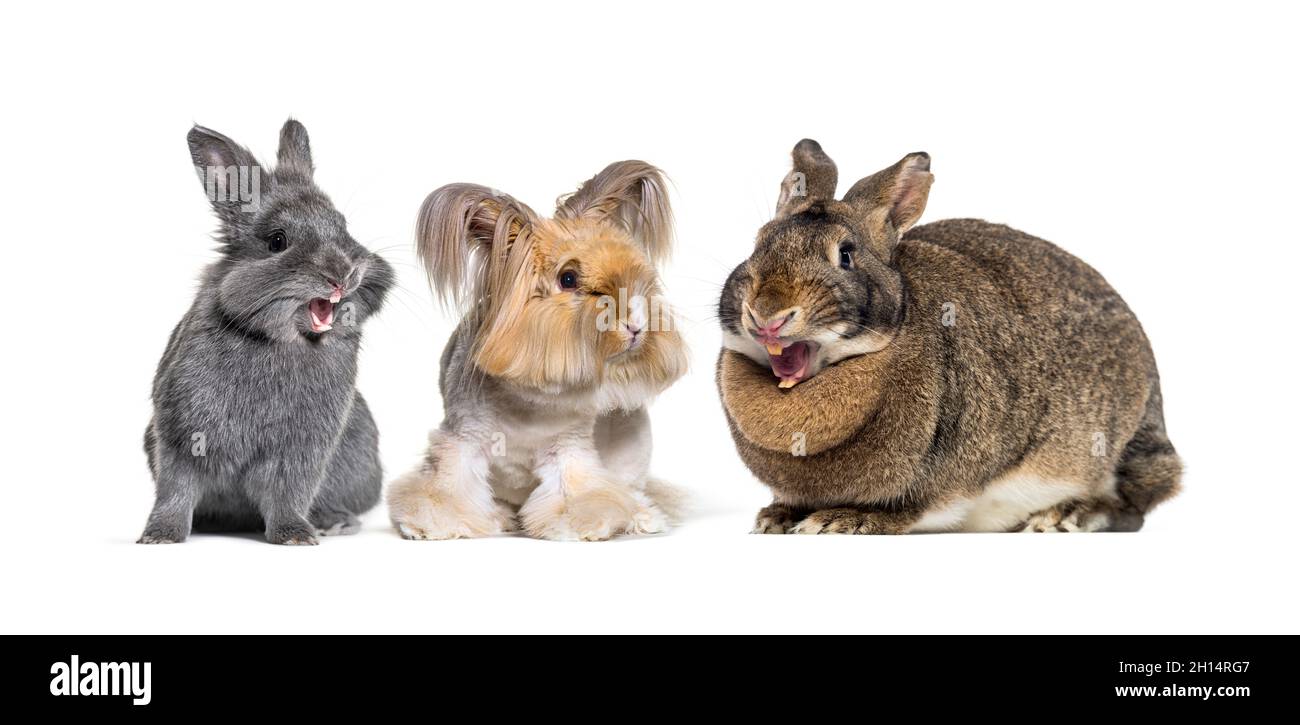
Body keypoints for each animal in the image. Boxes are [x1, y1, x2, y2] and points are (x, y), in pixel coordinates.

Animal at [138, 119, 393, 545]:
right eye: (278, 241)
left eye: (342, 226)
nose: (342, 274)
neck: (280, 341)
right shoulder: (180, 435)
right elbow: (176, 490)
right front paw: (159, 536)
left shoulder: (303, 450)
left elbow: (290, 493)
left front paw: (295, 535)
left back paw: (334, 521)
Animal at [387, 161, 689, 541]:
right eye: (568, 278)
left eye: (637, 281)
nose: (636, 326)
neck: (531, 400)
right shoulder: (463, 439)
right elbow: (447, 485)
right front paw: (427, 525)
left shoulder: (569, 449)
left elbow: (578, 490)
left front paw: (587, 525)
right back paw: (501, 517)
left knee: (632, 489)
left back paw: (642, 517)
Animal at [716, 139, 1181, 534]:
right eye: (758, 244)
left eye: (845, 254)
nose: (767, 315)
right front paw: (774, 517)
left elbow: (913, 507)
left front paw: (838, 520)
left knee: (1134, 504)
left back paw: (1063, 517)